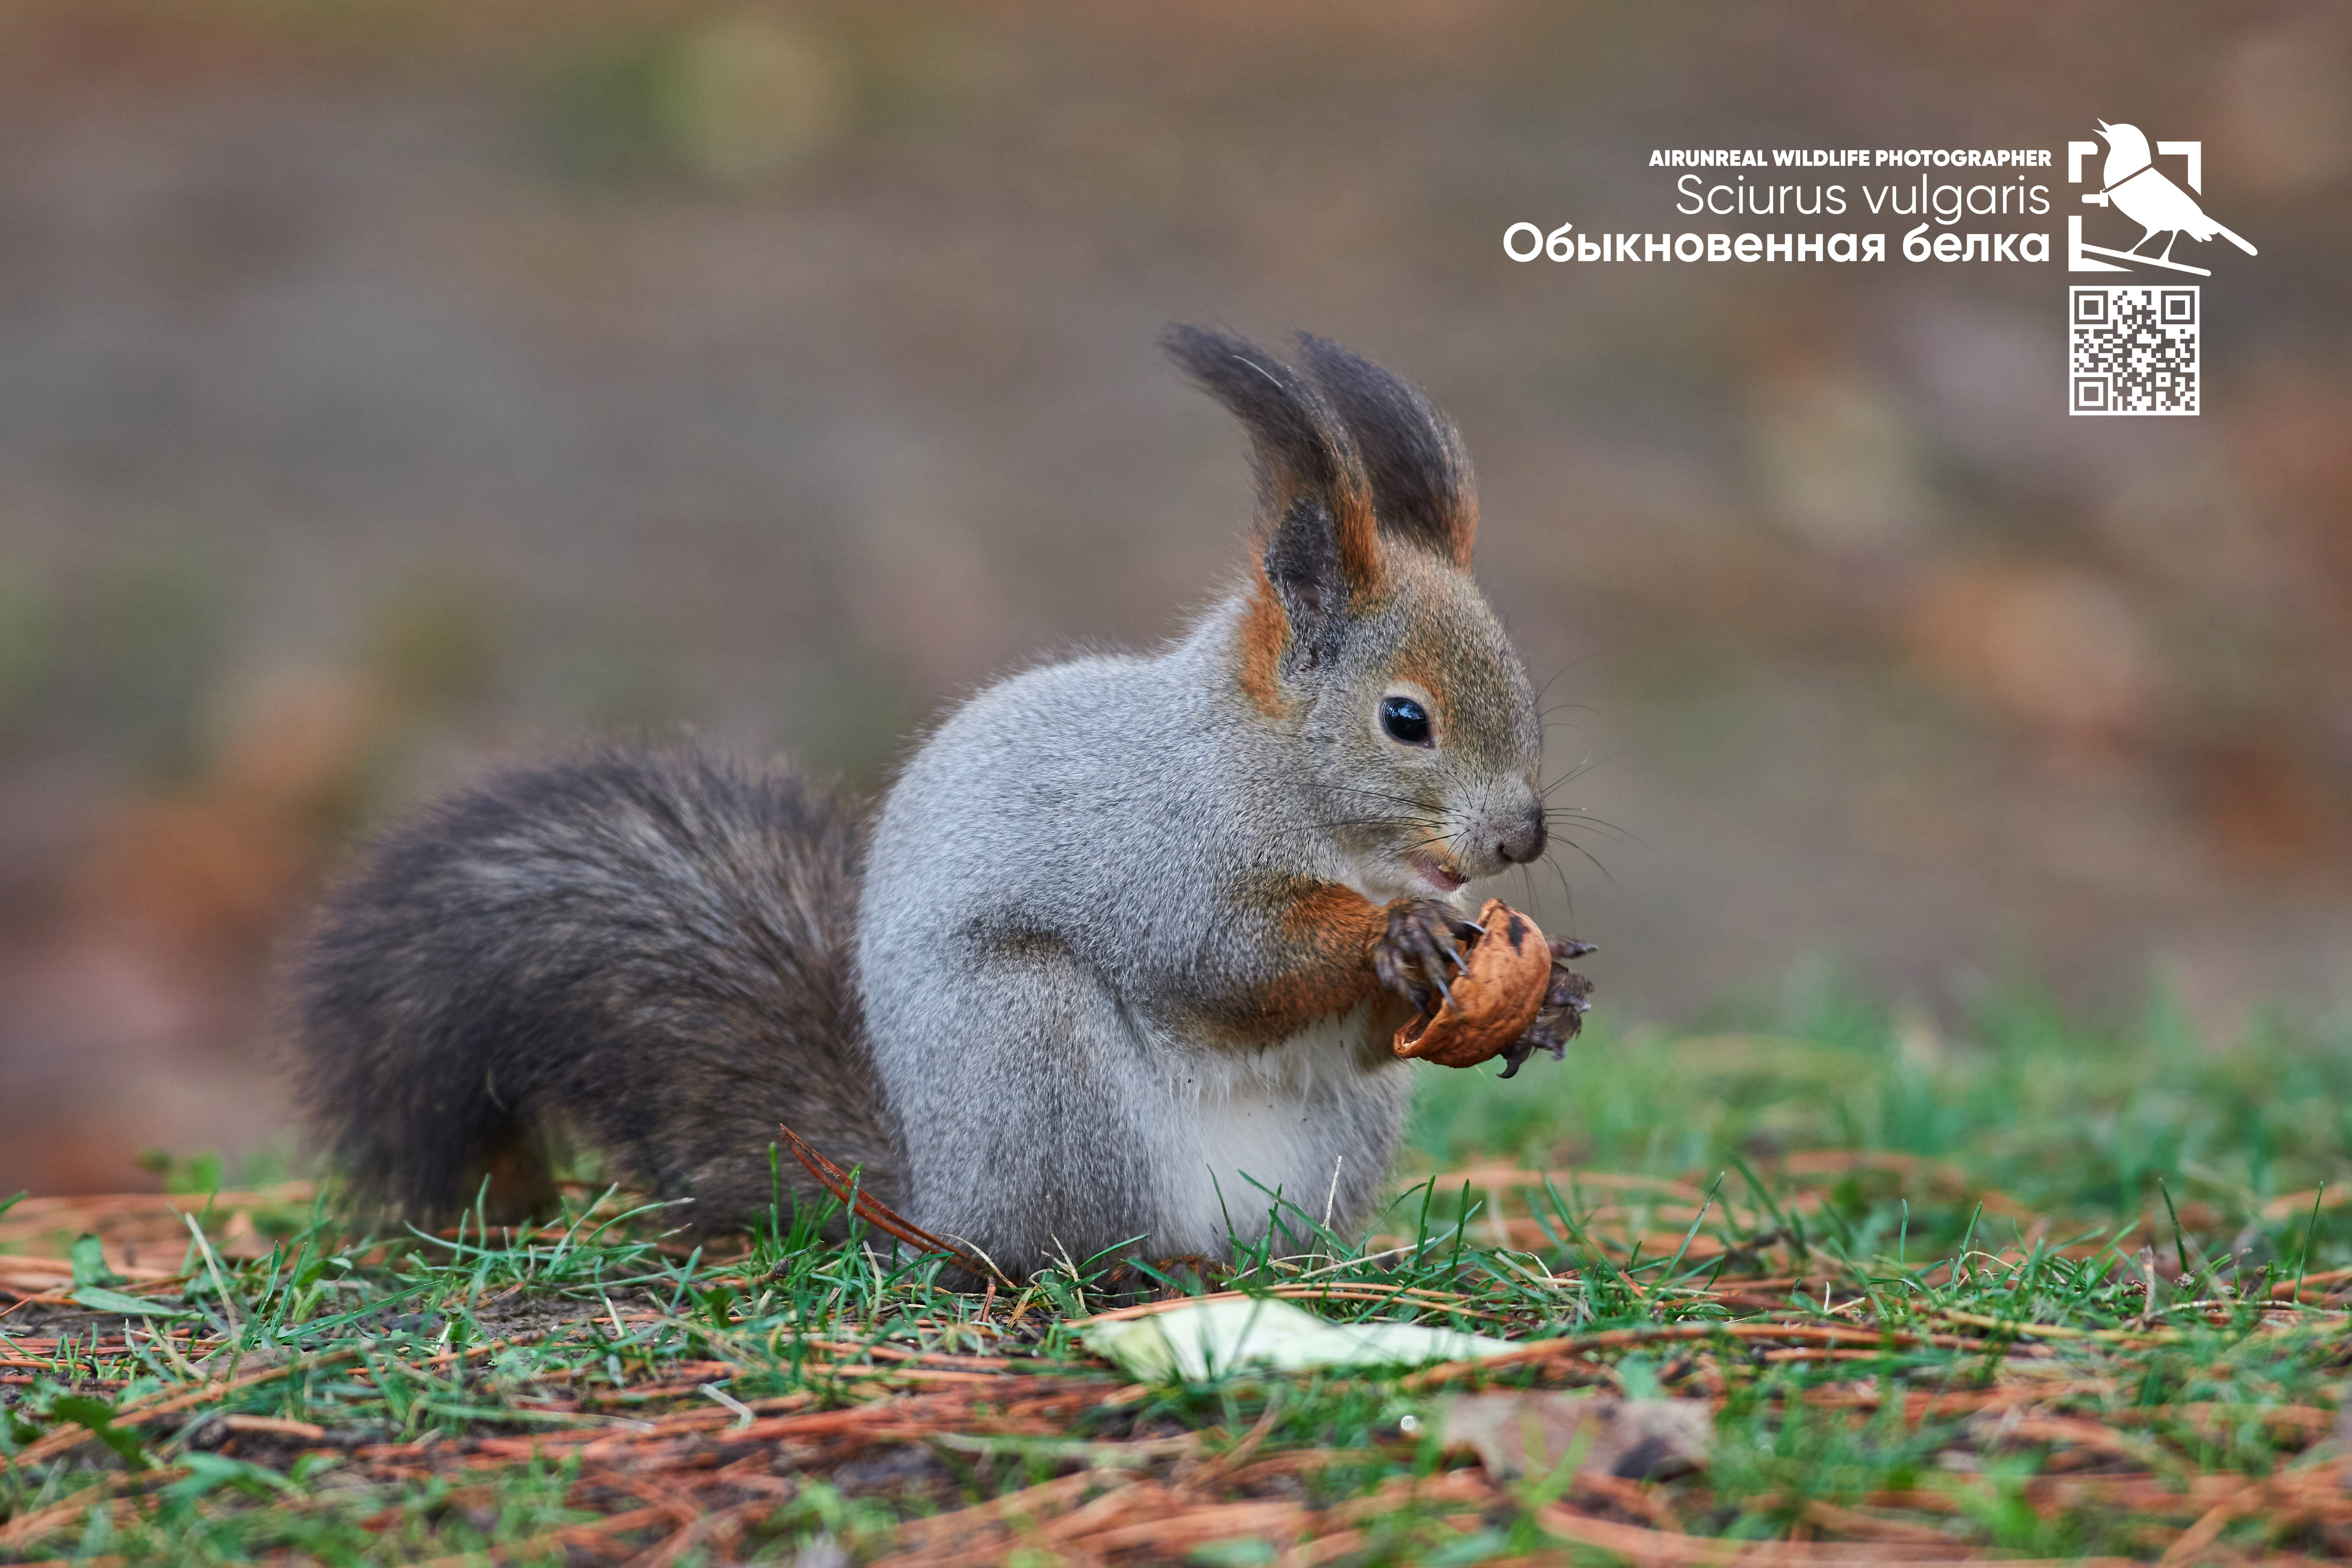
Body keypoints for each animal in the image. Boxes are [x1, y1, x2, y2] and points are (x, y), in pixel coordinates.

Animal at [284, 324, 1590, 1279]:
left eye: (1525, 683)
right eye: (1404, 719)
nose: (1518, 834)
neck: (1267, 773)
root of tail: (931, 1192)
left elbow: (1373, 1026)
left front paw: (1541, 1001)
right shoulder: (1159, 854)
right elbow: (1224, 959)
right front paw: (1398, 935)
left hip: (1331, 1134)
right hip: (1034, 1052)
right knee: (1056, 1248)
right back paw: (1138, 1268)